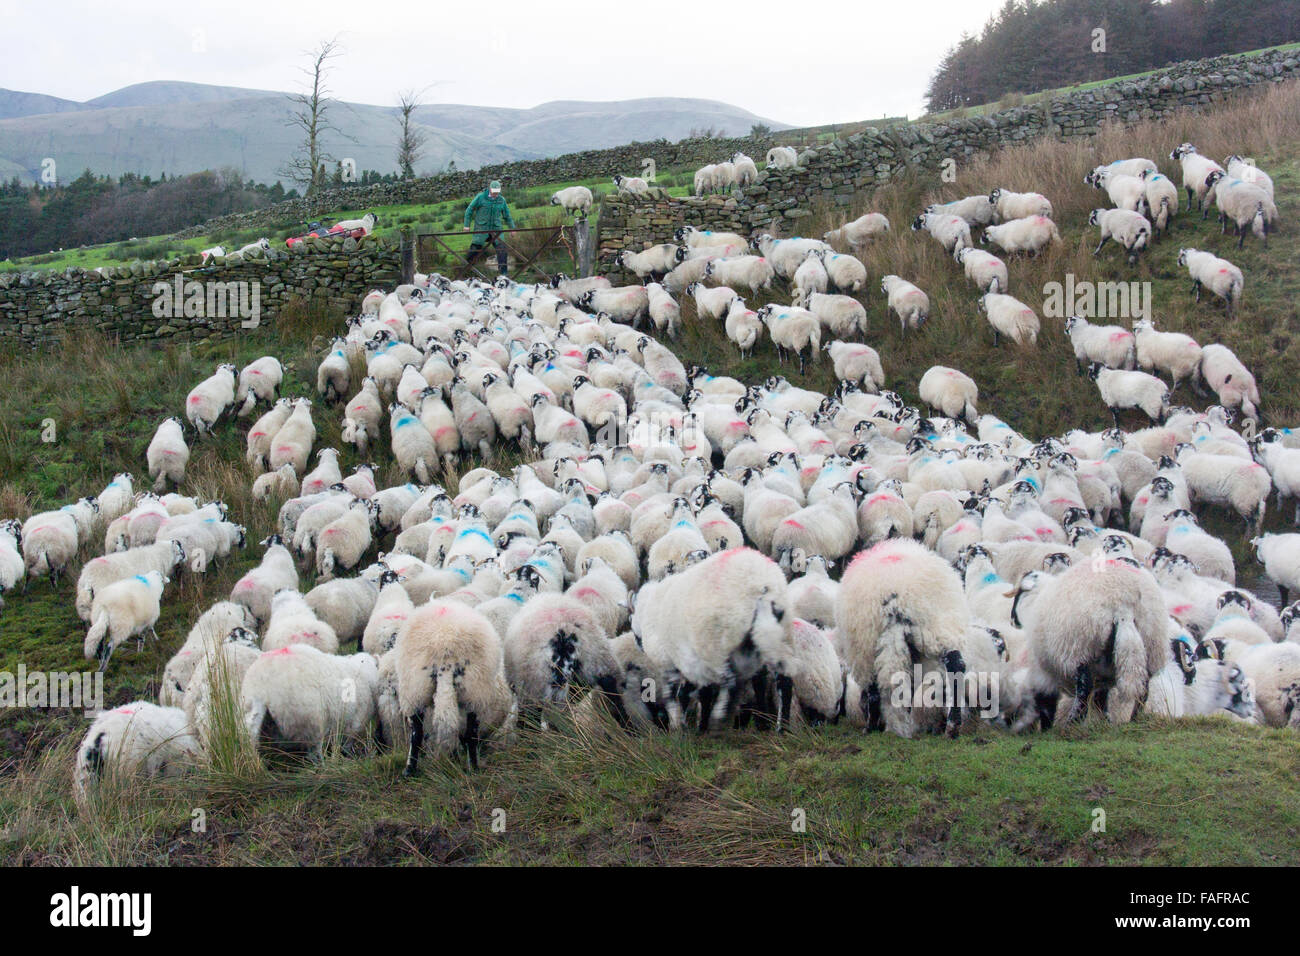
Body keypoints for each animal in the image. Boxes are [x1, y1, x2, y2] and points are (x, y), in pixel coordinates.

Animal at [242, 646, 378, 758]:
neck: (363, 670)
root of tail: (265, 689)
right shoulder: (355, 722)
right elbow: (347, 743)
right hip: (311, 720)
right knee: (314, 751)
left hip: (252, 709)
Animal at [395, 600, 515, 773]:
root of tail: (445, 648)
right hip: (474, 690)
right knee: (469, 732)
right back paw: (473, 767)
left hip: (415, 688)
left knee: (417, 732)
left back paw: (410, 769)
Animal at [836, 539, 970, 738]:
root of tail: (899, 597)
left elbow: (874, 690)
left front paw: (872, 725)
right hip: (941, 627)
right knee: (956, 665)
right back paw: (952, 726)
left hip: (869, 642)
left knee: (882, 684)